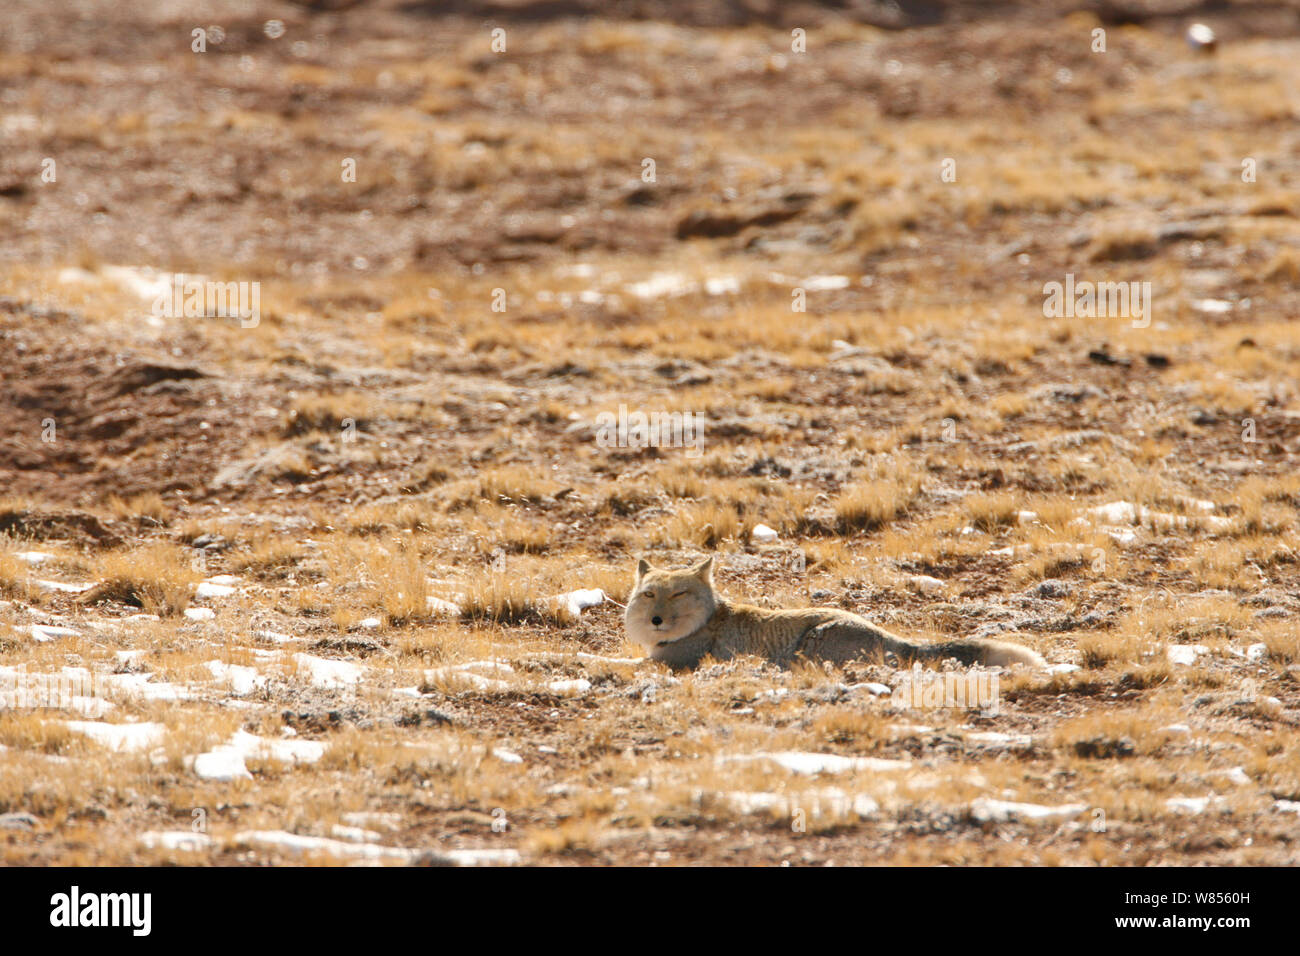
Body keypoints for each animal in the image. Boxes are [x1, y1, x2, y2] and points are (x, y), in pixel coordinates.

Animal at [625, 555, 1046, 670]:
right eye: (650, 594)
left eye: (679, 593)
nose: (656, 620)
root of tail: (891, 637)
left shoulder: (670, 662)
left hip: (814, 641)